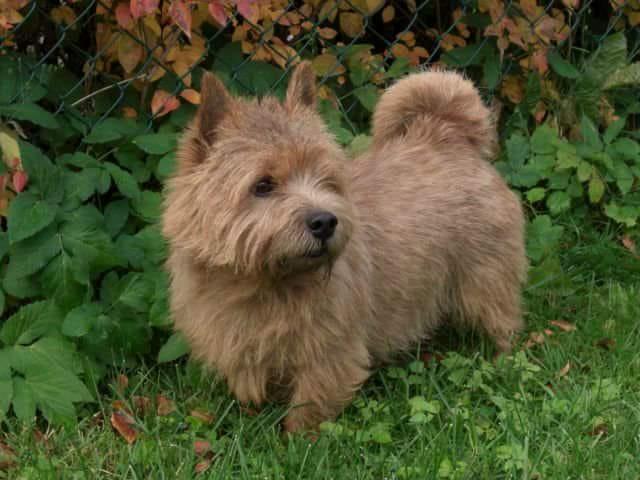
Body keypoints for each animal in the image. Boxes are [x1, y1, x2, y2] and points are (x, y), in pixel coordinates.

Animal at [160, 62, 524, 434]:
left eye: (326, 178)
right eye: (262, 185)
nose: (324, 221)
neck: (267, 285)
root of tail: (448, 136)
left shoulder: (328, 352)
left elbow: (311, 404)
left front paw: (298, 438)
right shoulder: (239, 344)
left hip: (486, 277)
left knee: (503, 320)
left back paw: (504, 362)